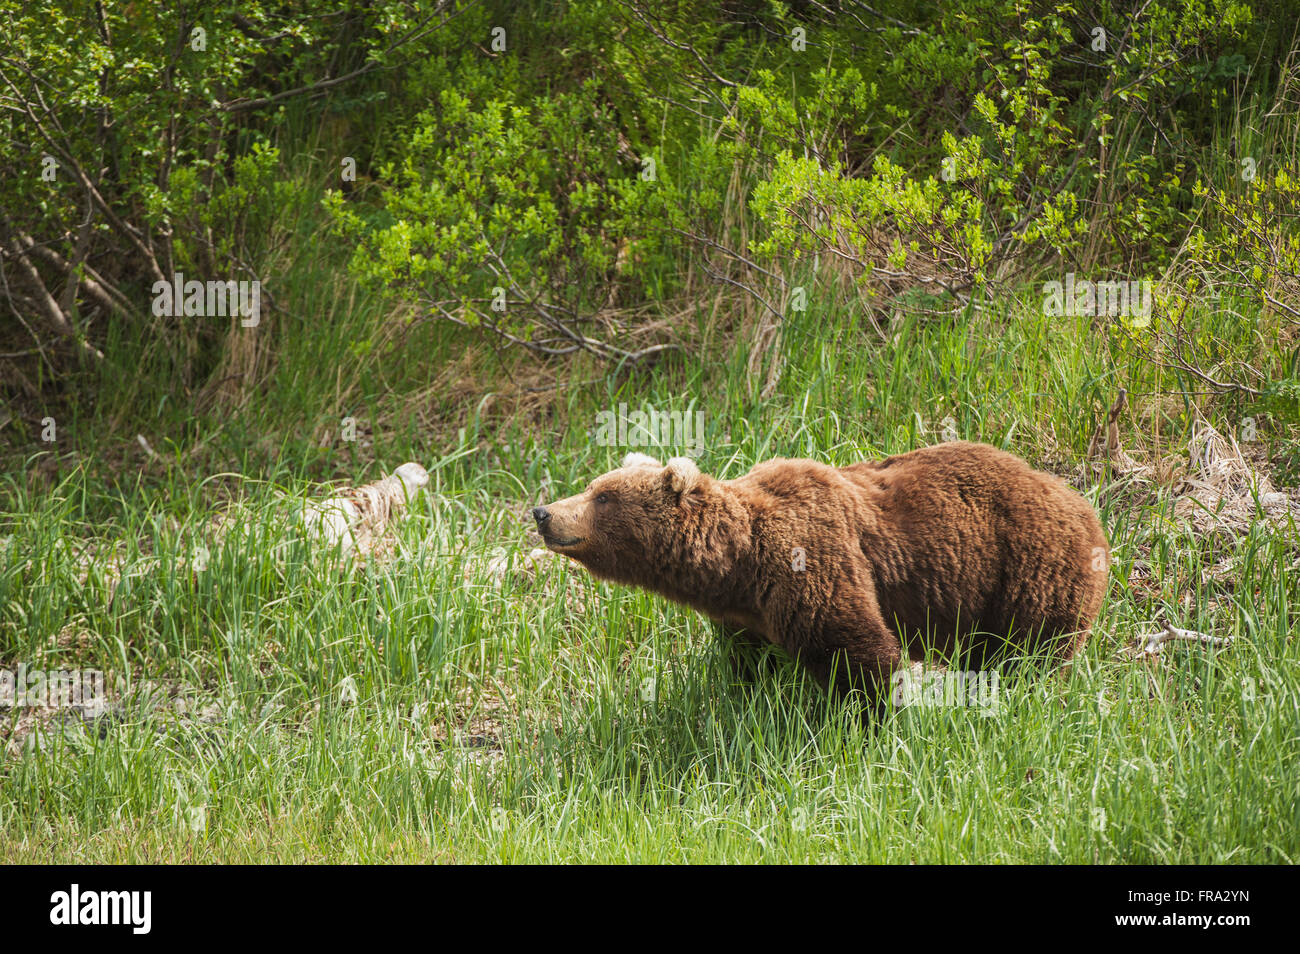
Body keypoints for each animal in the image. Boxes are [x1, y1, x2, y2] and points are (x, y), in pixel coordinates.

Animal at [532, 442, 1109, 708]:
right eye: (593, 486)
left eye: (603, 497)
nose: (543, 512)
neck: (739, 564)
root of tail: (1085, 506)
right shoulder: (747, 614)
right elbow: (749, 664)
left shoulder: (812, 559)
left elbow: (855, 651)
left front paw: (863, 719)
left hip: (1029, 568)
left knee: (1030, 652)